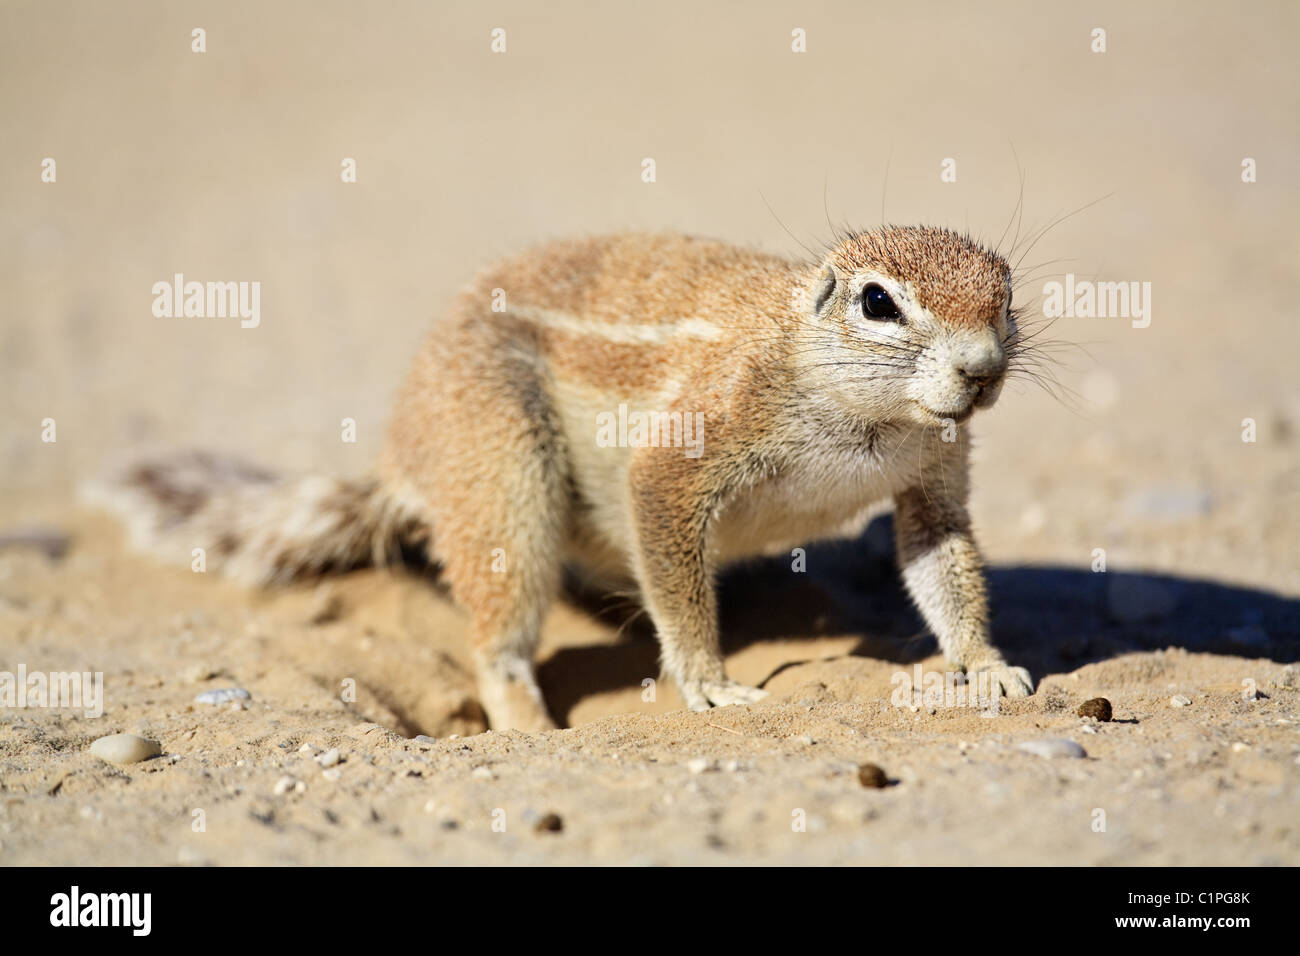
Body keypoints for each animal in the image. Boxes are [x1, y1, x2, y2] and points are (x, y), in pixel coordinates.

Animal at [94, 227, 1037, 731]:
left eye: (1006, 296)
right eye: (879, 303)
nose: (984, 372)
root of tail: (404, 455)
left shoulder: (935, 474)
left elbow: (940, 555)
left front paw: (985, 664)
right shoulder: (694, 438)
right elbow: (665, 522)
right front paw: (707, 679)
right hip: (499, 469)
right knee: (496, 635)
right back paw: (527, 724)